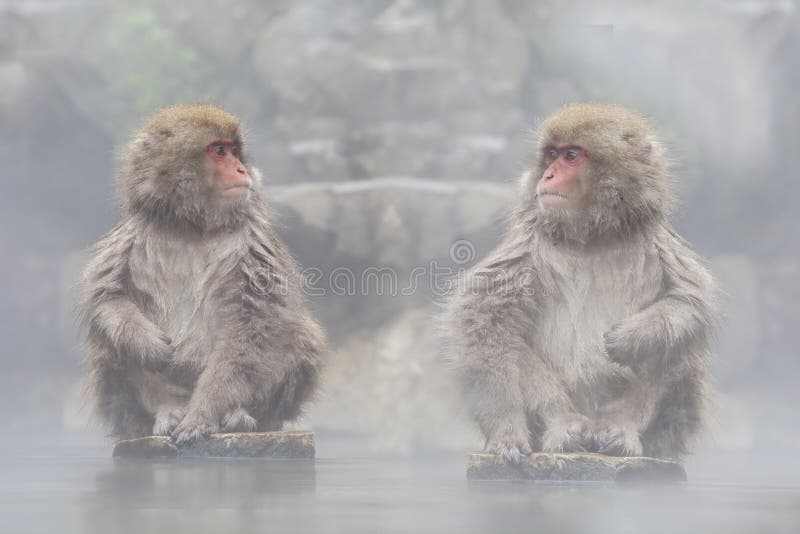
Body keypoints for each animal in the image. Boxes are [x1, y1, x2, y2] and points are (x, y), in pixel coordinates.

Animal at [81, 105, 327, 444]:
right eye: (219, 151)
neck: (192, 225)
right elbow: (108, 297)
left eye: (235, 151)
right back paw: (166, 411)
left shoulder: (253, 241)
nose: (242, 170)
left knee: (299, 335)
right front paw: (147, 344)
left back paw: (240, 416)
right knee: (107, 344)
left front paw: (204, 414)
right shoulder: (130, 236)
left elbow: (252, 327)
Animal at [442, 103, 715, 462]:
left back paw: (621, 429)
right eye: (551, 155)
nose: (547, 176)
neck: (592, 236)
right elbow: (482, 317)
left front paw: (630, 337)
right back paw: (563, 425)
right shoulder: (529, 241)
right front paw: (506, 432)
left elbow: (688, 301)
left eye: (571, 156)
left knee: (679, 345)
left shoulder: (657, 242)